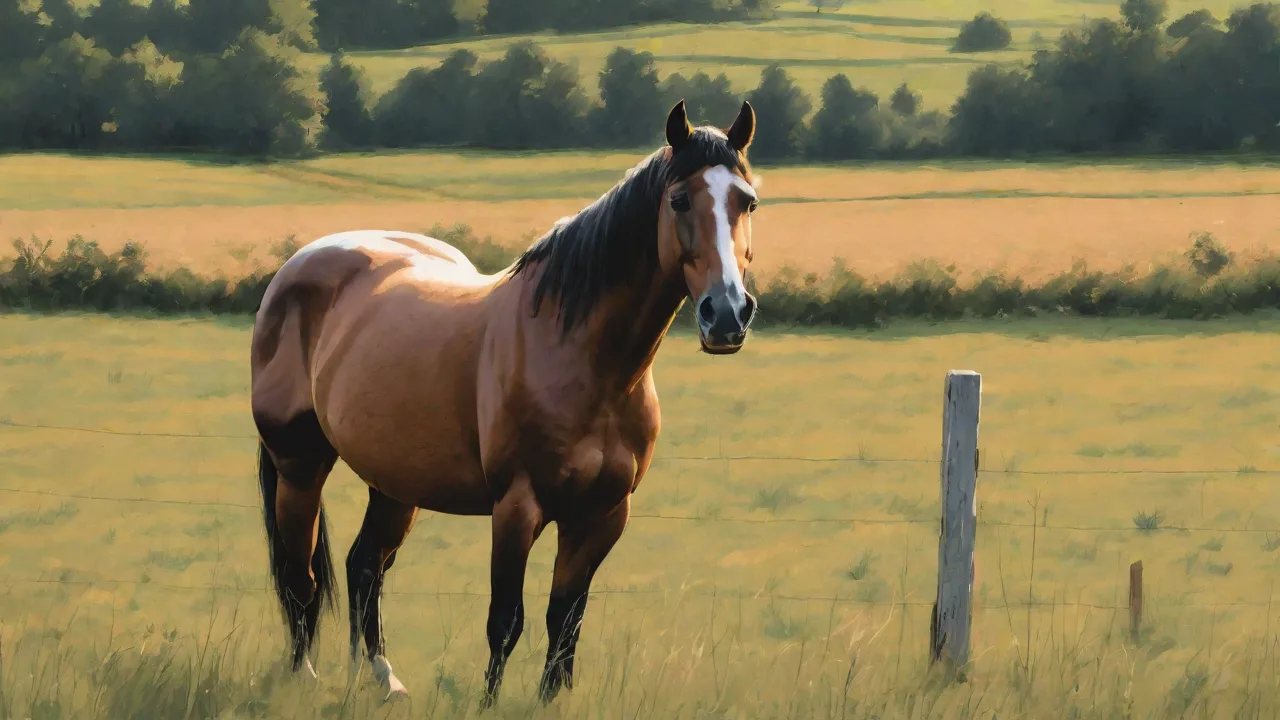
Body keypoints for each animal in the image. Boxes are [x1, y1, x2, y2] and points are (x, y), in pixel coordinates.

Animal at [249, 98, 761, 707]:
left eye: (747, 201)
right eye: (680, 198)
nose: (726, 314)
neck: (583, 356)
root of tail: (295, 270)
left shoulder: (604, 514)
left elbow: (565, 621)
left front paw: (551, 702)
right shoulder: (518, 506)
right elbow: (506, 620)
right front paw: (489, 704)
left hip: (395, 483)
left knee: (364, 568)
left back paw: (382, 678)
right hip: (299, 468)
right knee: (299, 578)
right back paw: (303, 676)